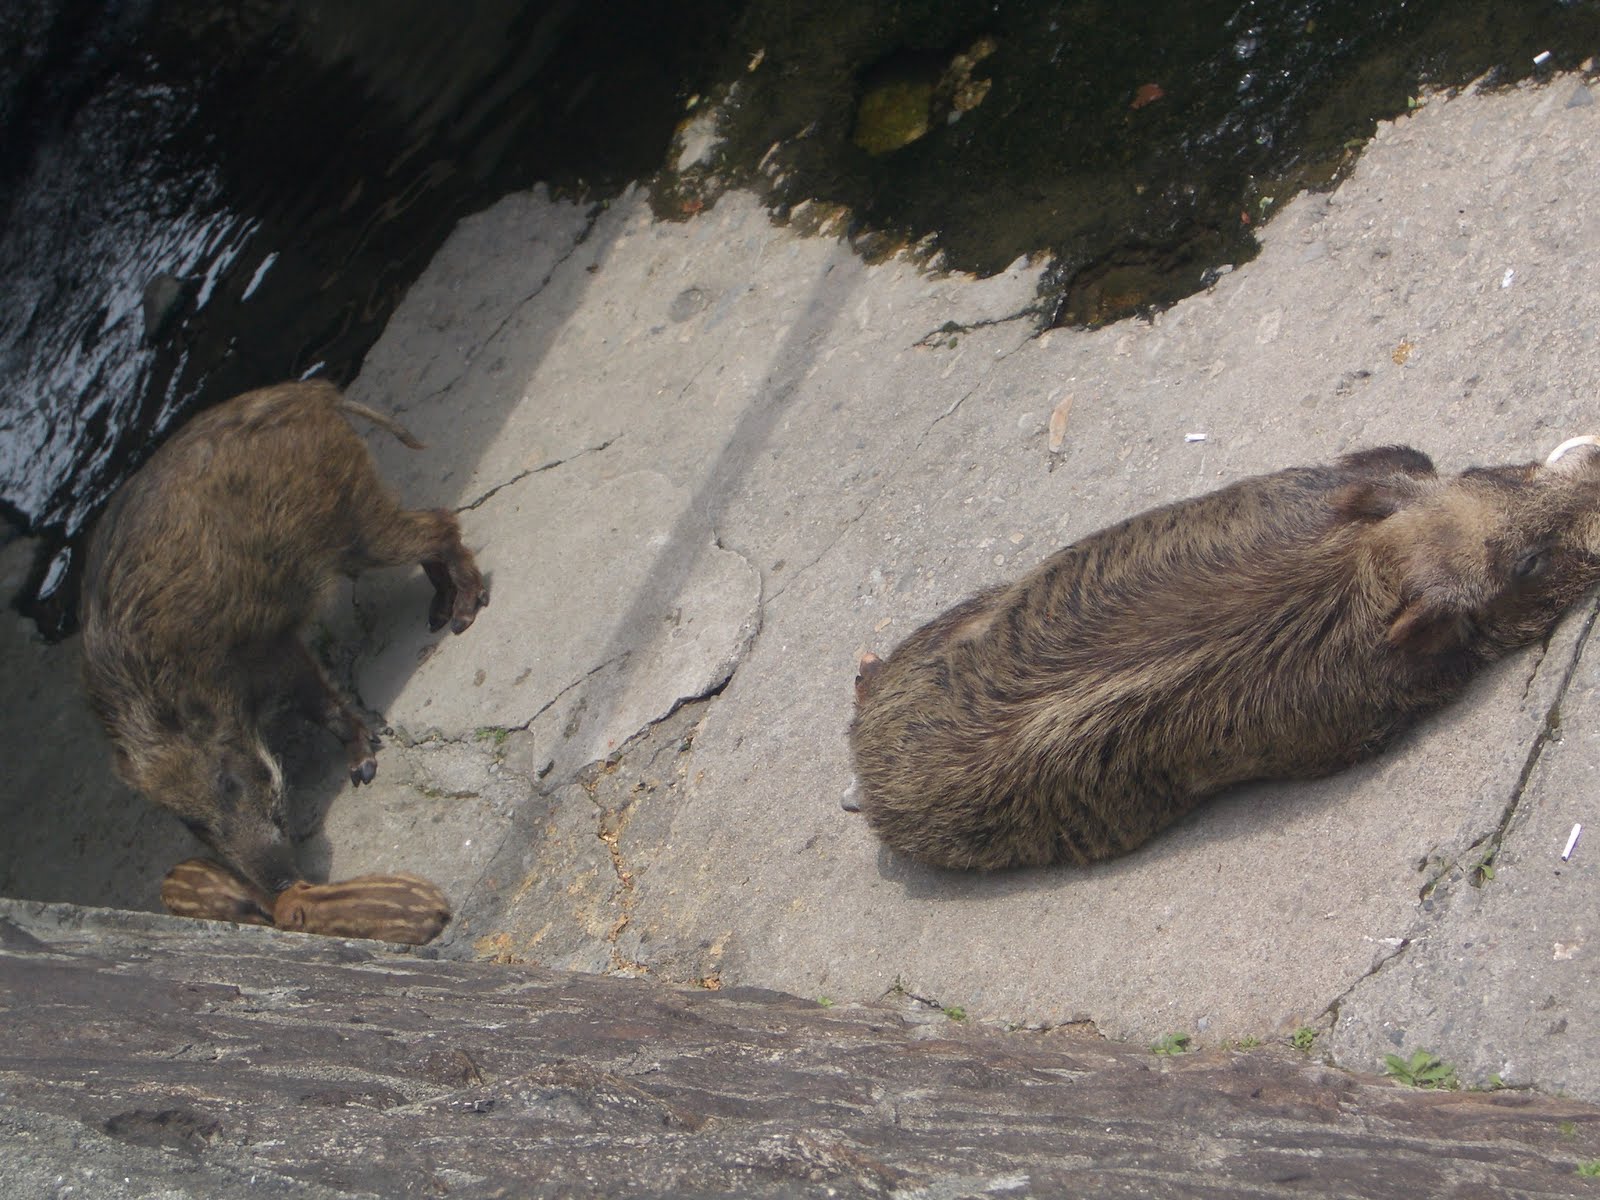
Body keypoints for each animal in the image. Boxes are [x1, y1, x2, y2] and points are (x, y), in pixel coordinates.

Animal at [80, 380, 488, 894]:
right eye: (192, 824)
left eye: (228, 782)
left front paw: (363, 769)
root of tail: (312, 392)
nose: (280, 883)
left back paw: (463, 613)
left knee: (437, 523)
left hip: (354, 523)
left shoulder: (270, 646)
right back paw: (437, 613)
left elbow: (317, 701)